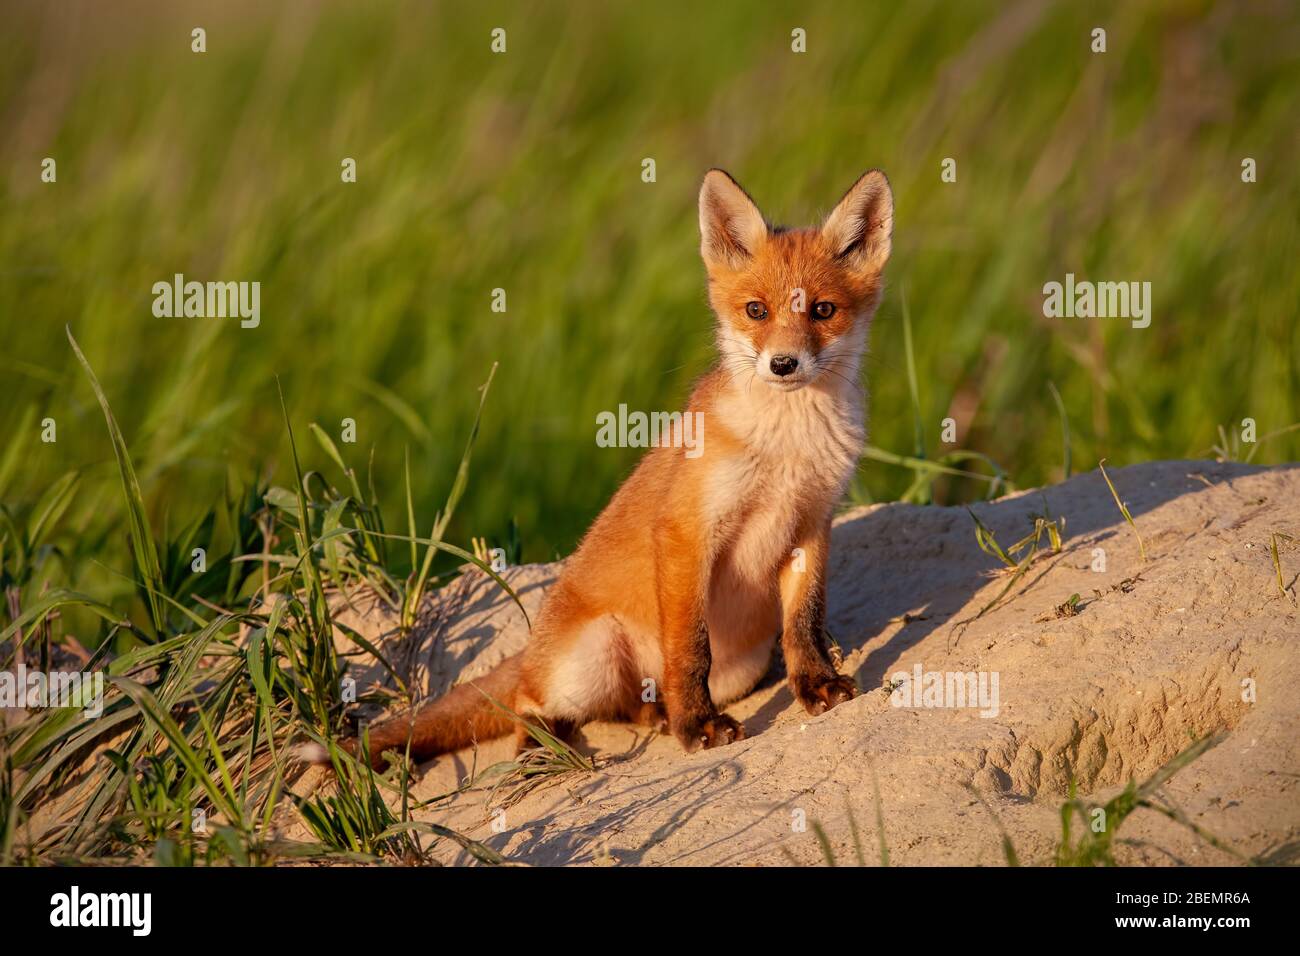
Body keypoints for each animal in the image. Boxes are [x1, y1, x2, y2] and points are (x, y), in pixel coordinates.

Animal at [324, 167, 893, 766]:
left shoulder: (811, 521)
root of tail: (534, 645)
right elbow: (689, 650)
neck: (787, 449)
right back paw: (556, 744)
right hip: (589, 659)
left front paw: (816, 685)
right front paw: (697, 726)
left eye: (823, 311)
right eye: (756, 310)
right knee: (531, 702)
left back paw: (657, 715)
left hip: (739, 668)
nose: (783, 363)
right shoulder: (686, 532)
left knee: (628, 704)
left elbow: (804, 625)